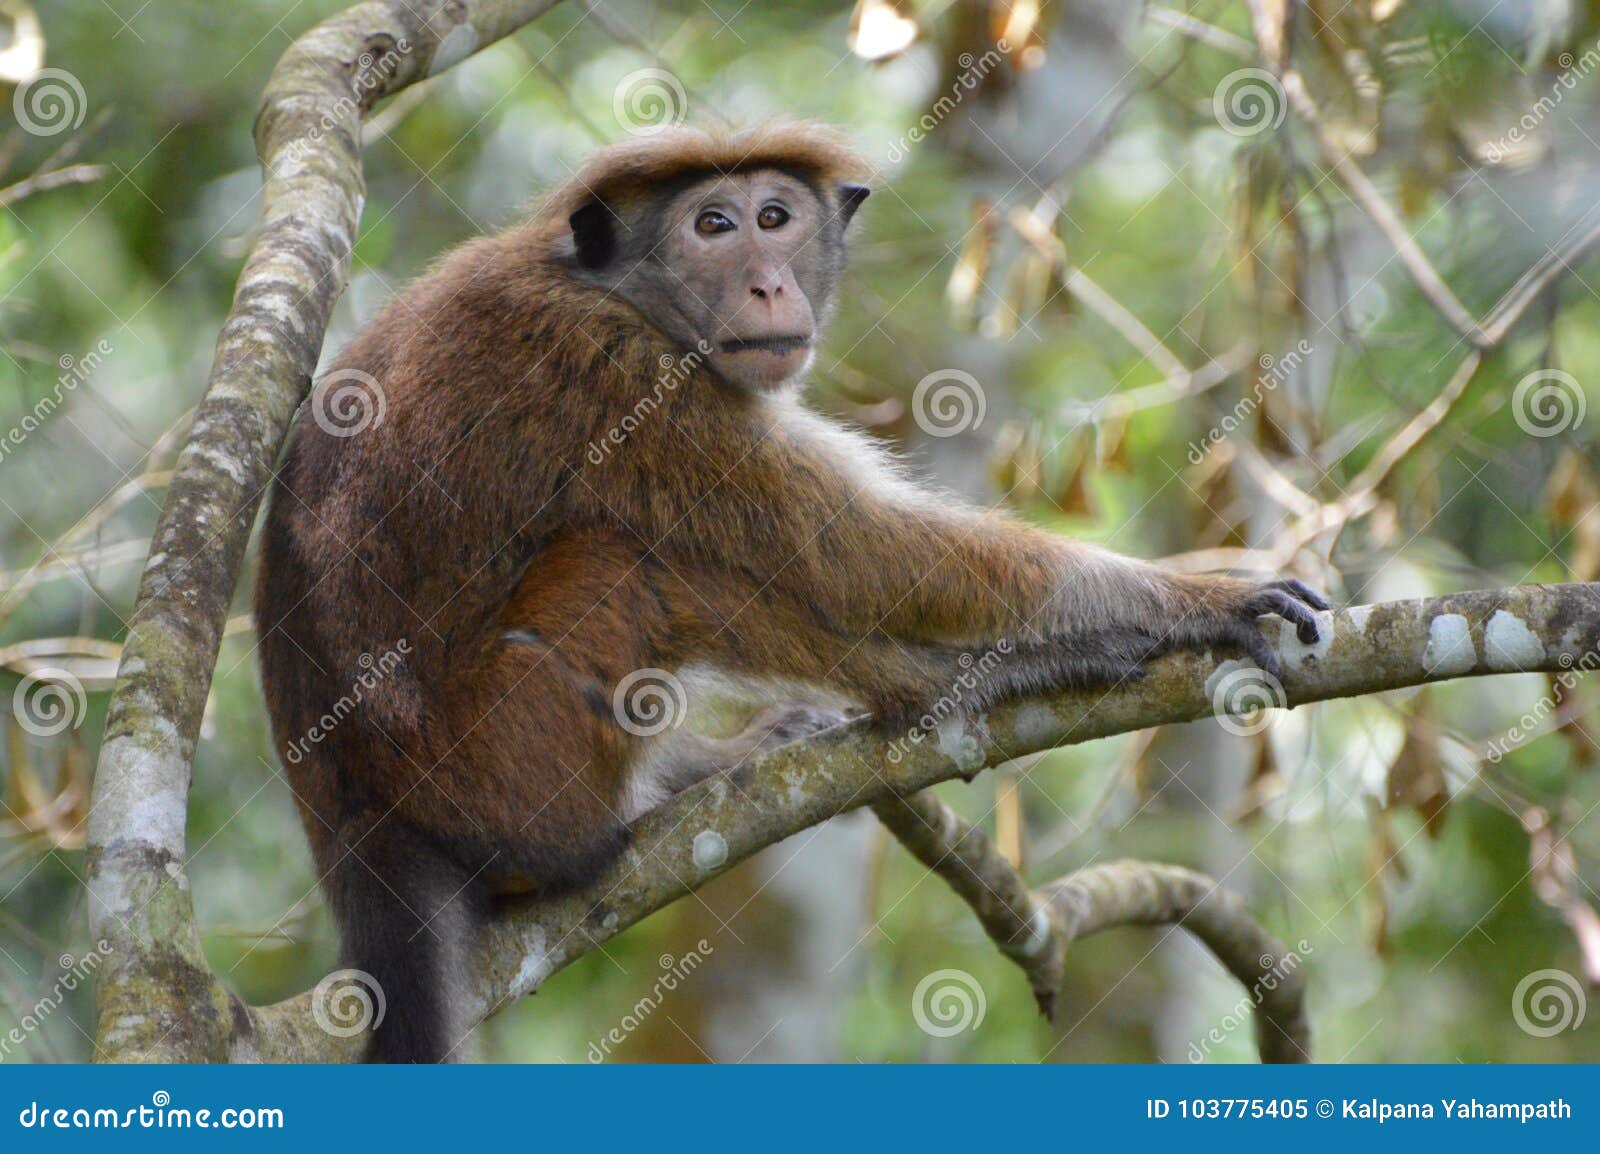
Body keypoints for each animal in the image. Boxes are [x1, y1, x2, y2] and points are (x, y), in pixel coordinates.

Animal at [253, 122, 1327, 1064]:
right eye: (714, 226)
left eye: (776, 217)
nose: (767, 280)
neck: (601, 283)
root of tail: (355, 826)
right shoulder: (614, 369)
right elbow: (859, 555)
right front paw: (1187, 605)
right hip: (507, 758)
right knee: (632, 560)